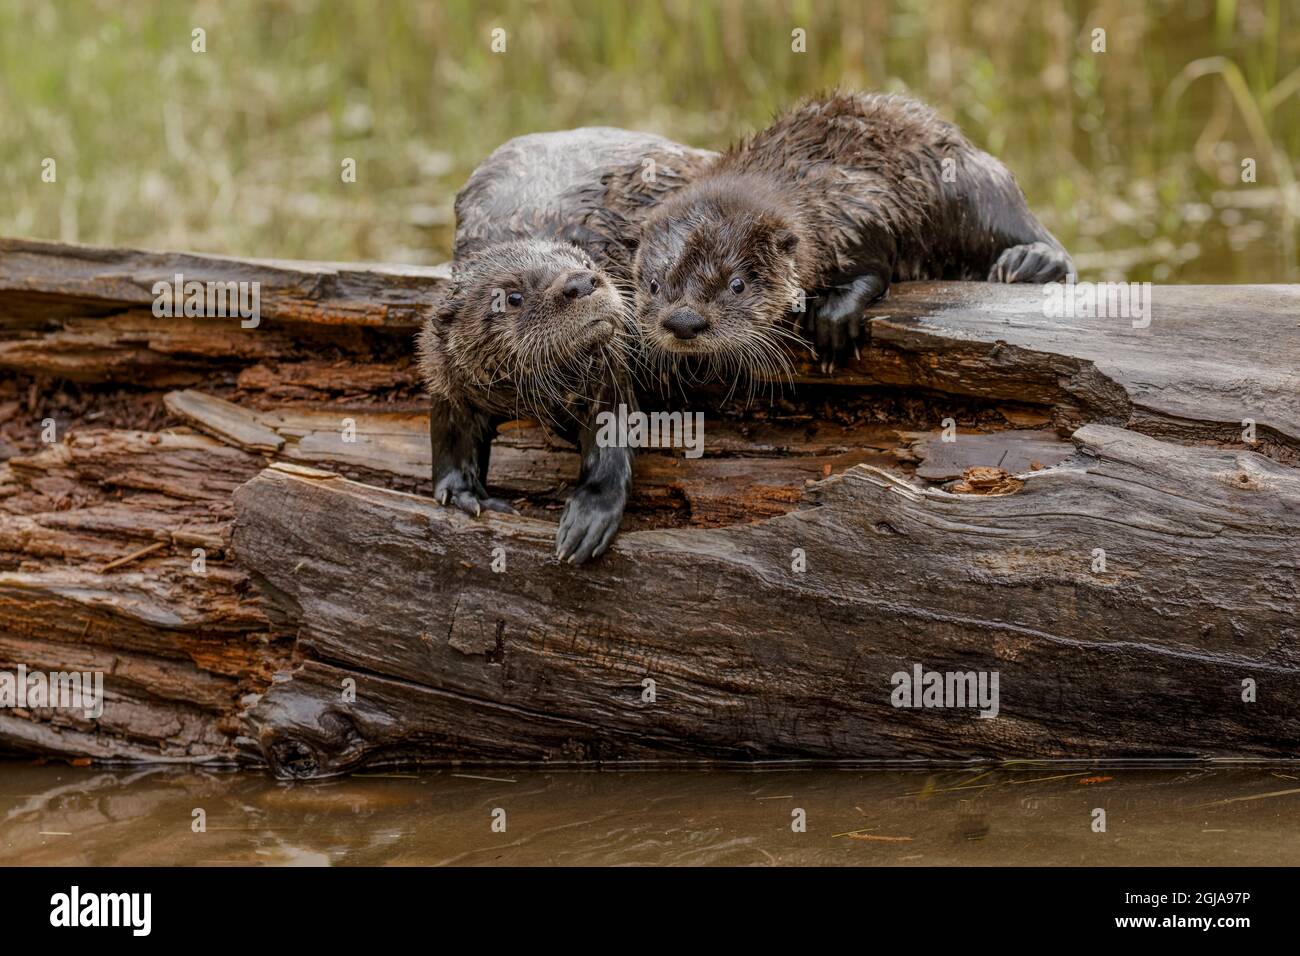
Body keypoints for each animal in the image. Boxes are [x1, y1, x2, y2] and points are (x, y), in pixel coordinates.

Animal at [418, 128, 717, 563]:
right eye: (512, 296)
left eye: (588, 263)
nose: (581, 280)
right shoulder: (445, 370)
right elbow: (450, 430)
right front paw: (460, 492)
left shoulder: (610, 371)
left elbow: (613, 439)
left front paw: (587, 519)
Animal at [632, 92, 1074, 374]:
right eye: (653, 285)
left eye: (737, 284)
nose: (684, 322)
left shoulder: (858, 211)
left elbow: (874, 265)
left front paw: (832, 323)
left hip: (978, 190)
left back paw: (1029, 261)